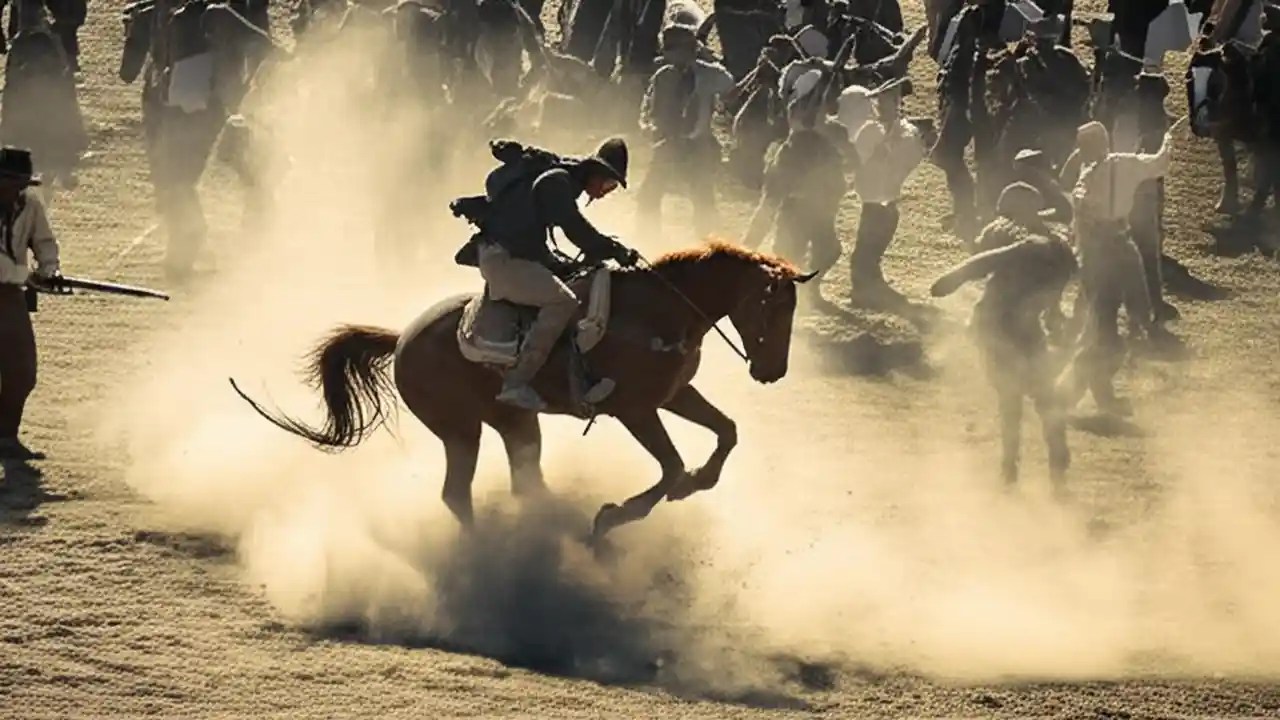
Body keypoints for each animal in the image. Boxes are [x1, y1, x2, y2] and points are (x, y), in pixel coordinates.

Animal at [232, 241, 817, 542]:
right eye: (770, 308)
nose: (773, 371)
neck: (656, 311)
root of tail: (401, 340)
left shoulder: (674, 394)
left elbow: (727, 432)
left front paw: (699, 480)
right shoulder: (636, 409)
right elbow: (670, 468)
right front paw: (613, 517)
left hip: (513, 423)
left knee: (524, 481)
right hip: (460, 429)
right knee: (457, 493)